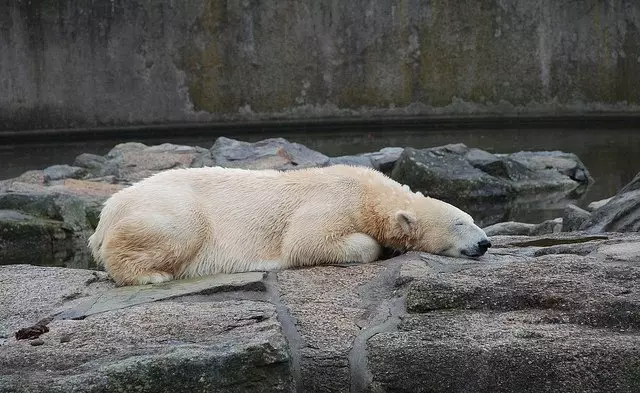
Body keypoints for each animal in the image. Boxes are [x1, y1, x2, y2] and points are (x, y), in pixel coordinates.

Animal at [89, 165, 490, 284]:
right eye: (459, 224)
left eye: (473, 219)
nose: (485, 243)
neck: (369, 192)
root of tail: (107, 212)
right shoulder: (333, 199)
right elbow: (306, 240)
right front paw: (378, 247)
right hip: (170, 208)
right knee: (180, 229)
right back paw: (150, 275)